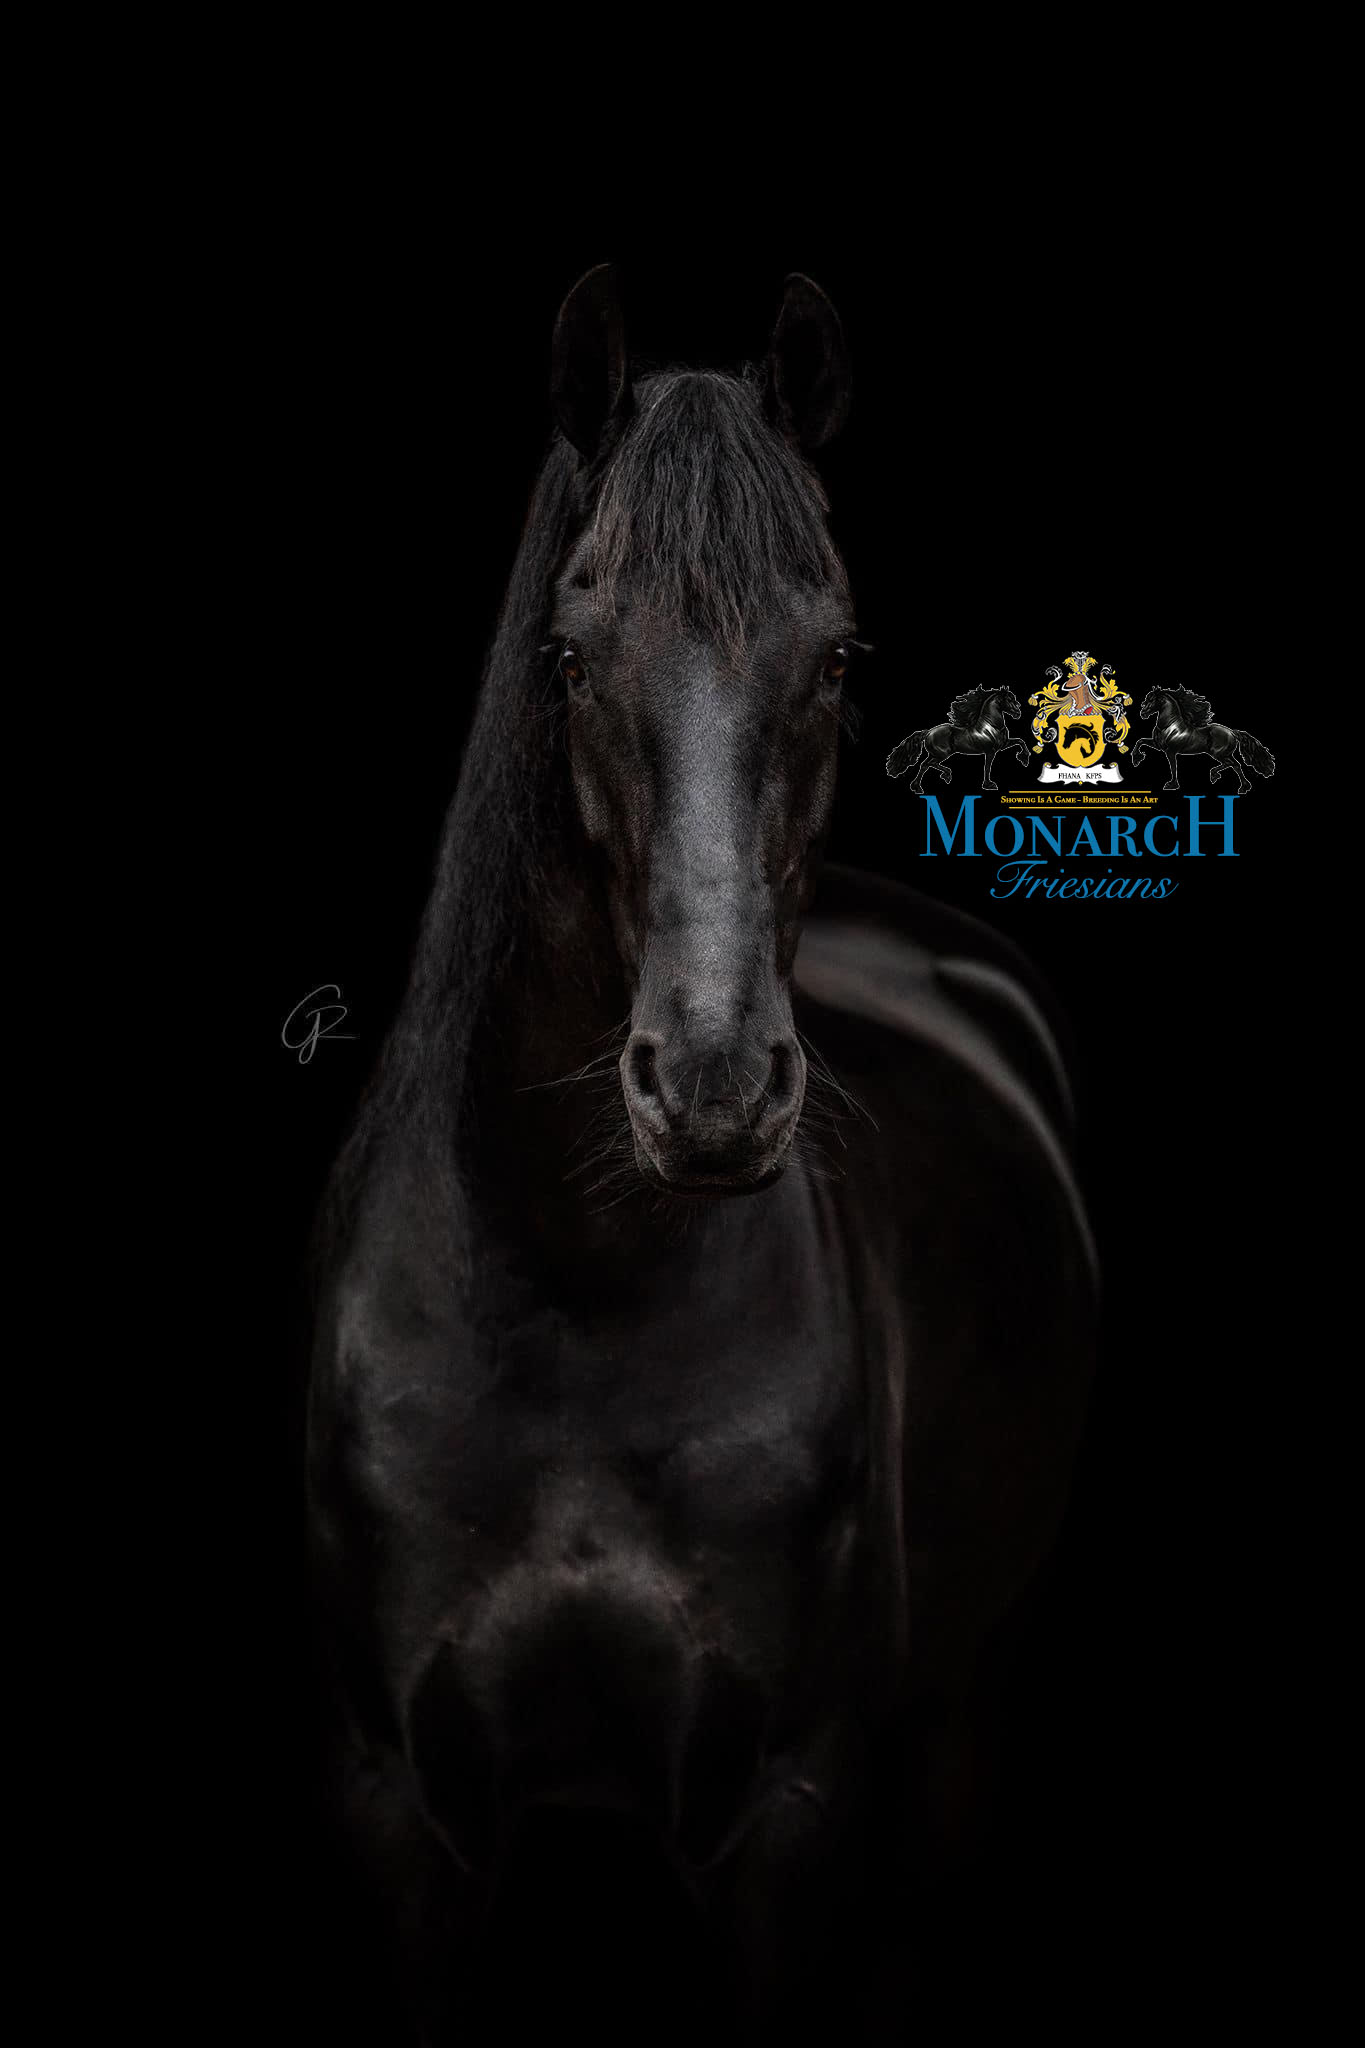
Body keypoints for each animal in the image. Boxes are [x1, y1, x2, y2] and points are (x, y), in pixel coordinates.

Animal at [885, 687, 1029, 792]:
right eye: (1009, 700)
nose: (1018, 713)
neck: (992, 725)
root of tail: (928, 732)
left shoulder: (1003, 745)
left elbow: (1020, 741)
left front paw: (1024, 759)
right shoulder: (990, 751)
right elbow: (987, 767)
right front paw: (989, 785)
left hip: (934, 754)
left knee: (924, 765)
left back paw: (918, 787)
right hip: (942, 754)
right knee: (929, 764)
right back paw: (946, 775)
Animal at [1132, 685, 1276, 793]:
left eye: (1152, 700)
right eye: (1147, 699)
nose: (1143, 713)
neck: (1169, 725)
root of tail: (1233, 732)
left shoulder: (1171, 751)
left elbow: (1173, 767)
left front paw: (1171, 785)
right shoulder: (1158, 745)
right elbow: (1140, 741)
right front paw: (1136, 759)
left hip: (1218, 753)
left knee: (1232, 764)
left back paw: (1215, 776)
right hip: (1226, 754)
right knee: (1236, 765)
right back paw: (1242, 787)